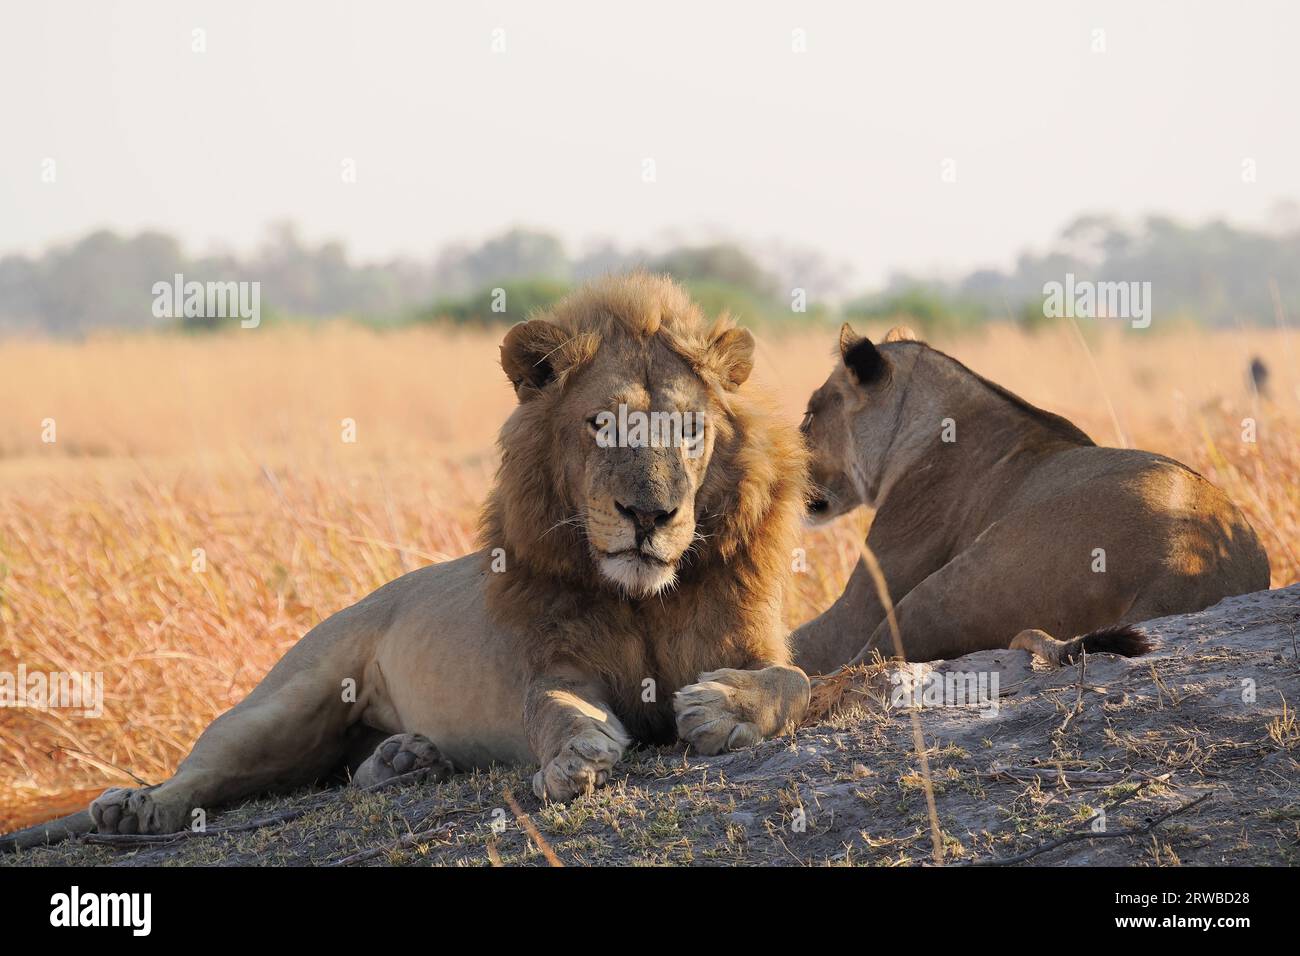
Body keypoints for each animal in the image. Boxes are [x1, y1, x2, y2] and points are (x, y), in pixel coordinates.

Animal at [3, 274, 811, 847]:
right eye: (600, 423)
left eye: (689, 429)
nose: (649, 516)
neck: (641, 597)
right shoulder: (555, 663)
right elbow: (552, 707)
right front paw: (578, 754)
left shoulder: (752, 641)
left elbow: (794, 680)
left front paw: (723, 708)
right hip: (286, 703)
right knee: (202, 774)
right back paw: (134, 807)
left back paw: (404, 762)